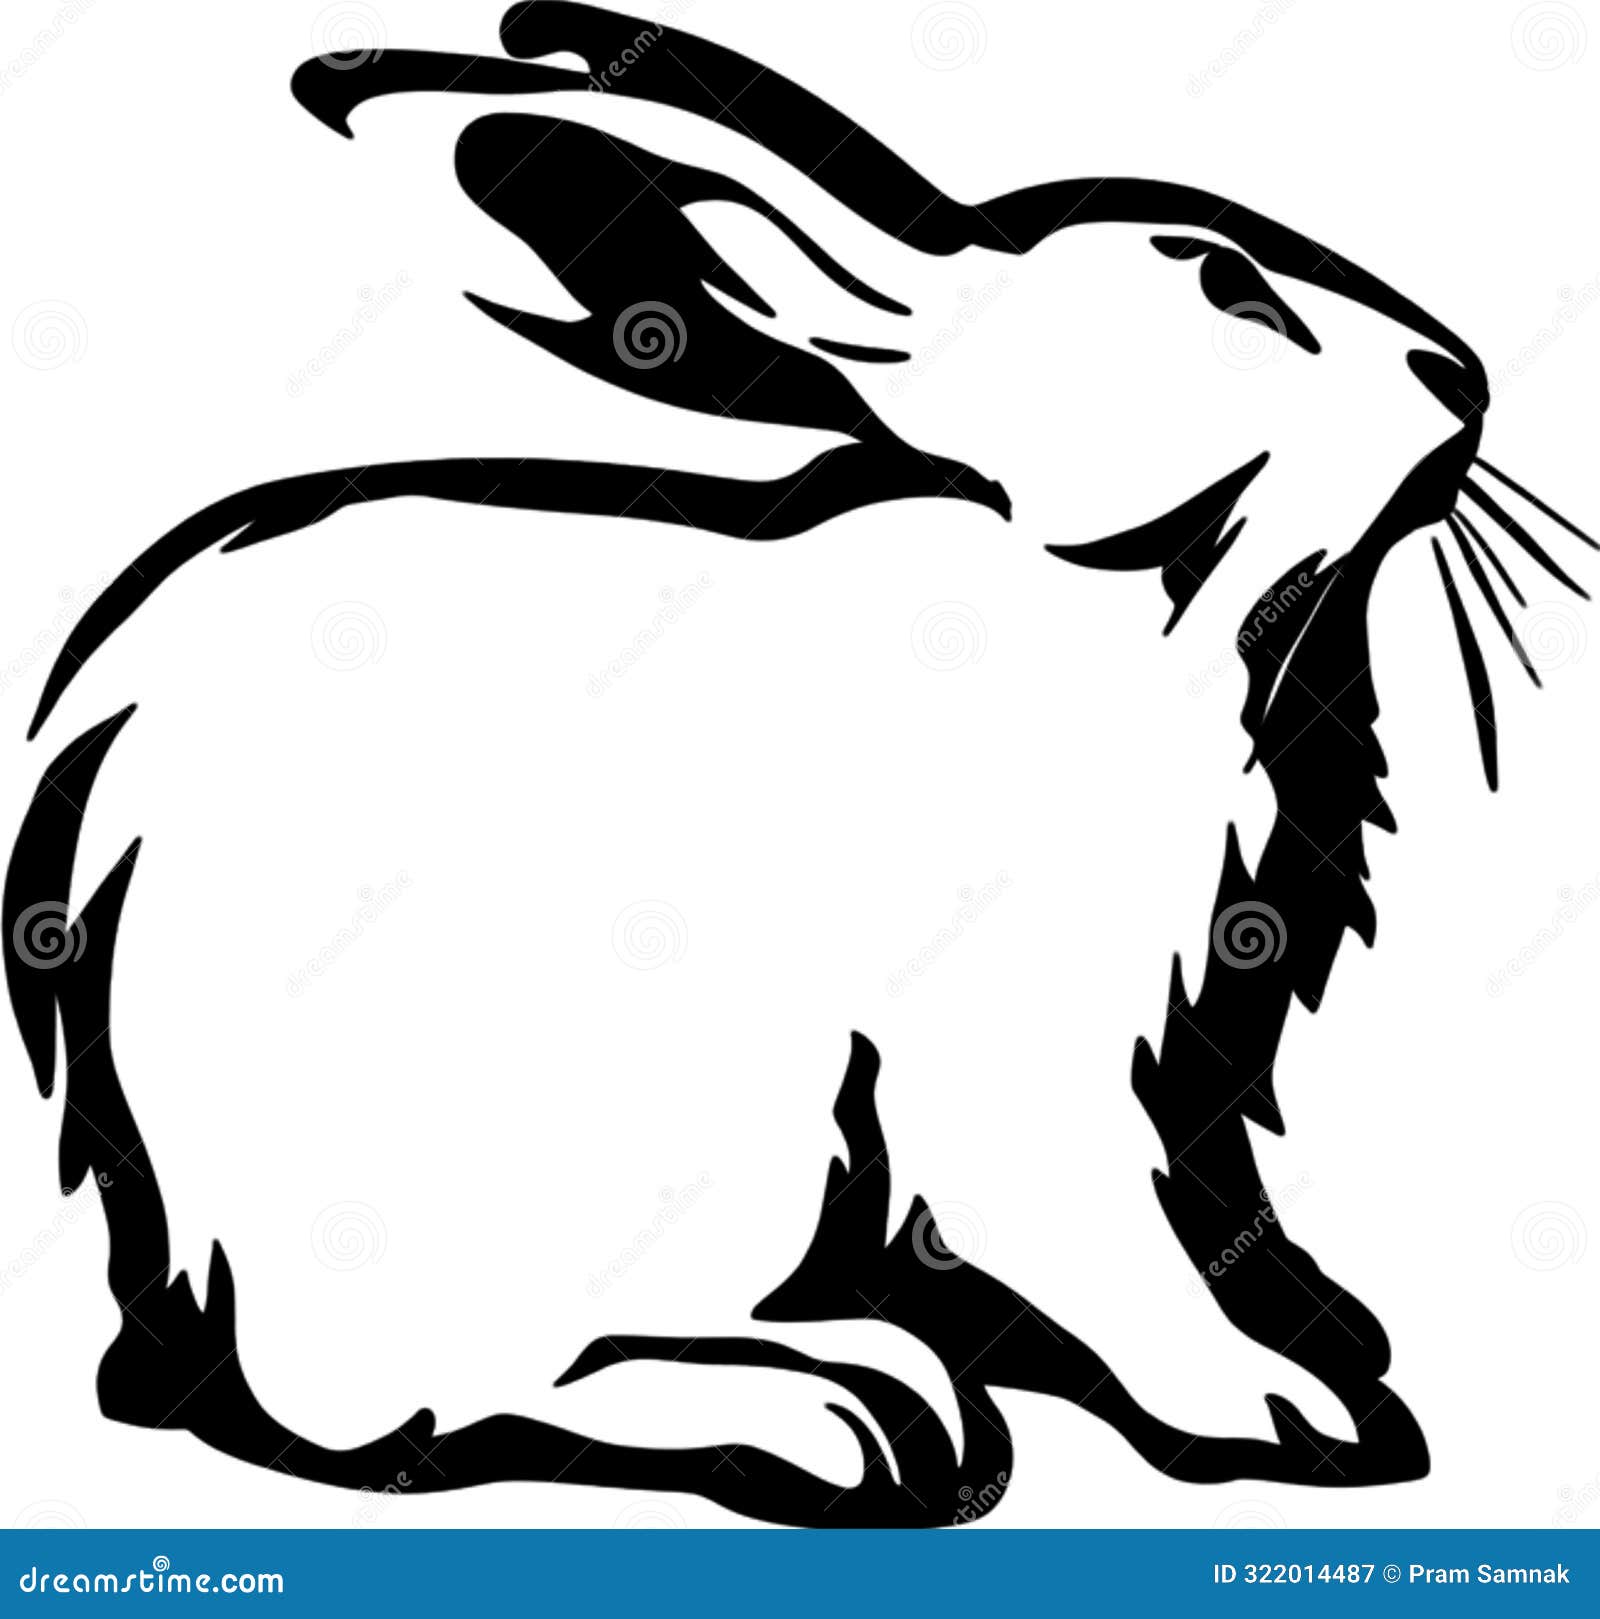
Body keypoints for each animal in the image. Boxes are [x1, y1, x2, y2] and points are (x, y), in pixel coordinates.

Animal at [6, 2, 1593, 1527]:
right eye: (1226, 286)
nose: (1463, 378)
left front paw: (1326, 1336)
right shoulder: (1027, 1038)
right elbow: (1097, 1215)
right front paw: (1280, 1405)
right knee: (420, 1391)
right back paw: (841, 1412)